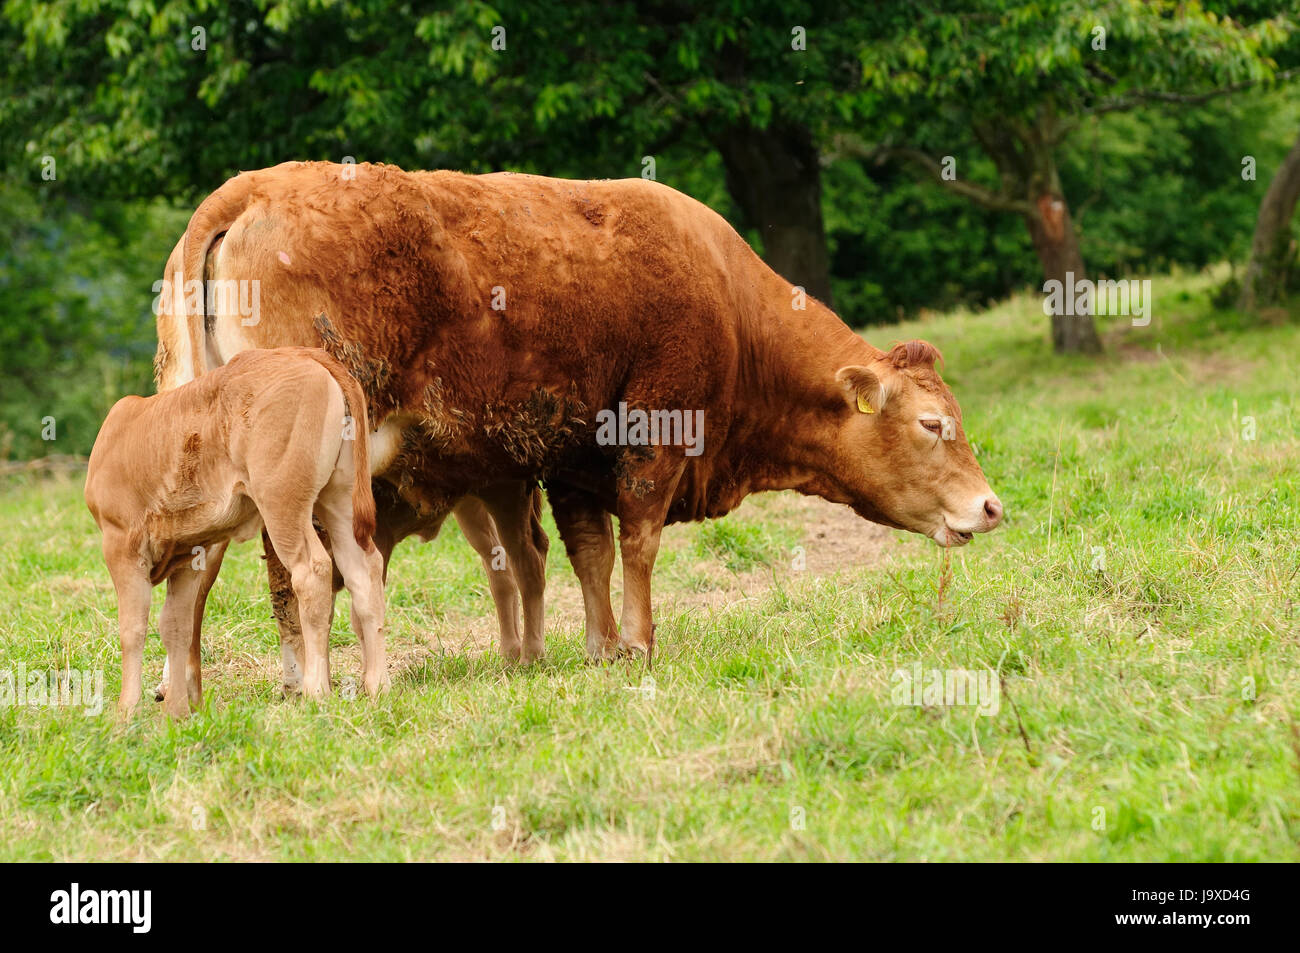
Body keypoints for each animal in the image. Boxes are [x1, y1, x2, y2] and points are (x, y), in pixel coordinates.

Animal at [86, 347, 387, 718]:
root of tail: (304, 353)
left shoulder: (121, 543)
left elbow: (133, 628)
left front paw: (125, 712)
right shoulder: (188, 551)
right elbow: (177, 627)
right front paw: (177, 712)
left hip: (282, 501)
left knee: (312, 571)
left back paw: (317, 691)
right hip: (339, 497)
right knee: (364, 570)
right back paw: (378, 686)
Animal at [158, 160, 1002, 666]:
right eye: (932, 424)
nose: (992, 506)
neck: (729, 304)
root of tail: (258, 186)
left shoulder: (569, 455)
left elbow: (588, 550)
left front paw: (602, 644)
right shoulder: (654, 435)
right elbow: (639, 541)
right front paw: (641, 641)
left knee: (204, 569)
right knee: (293, 569)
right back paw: (309, 677)